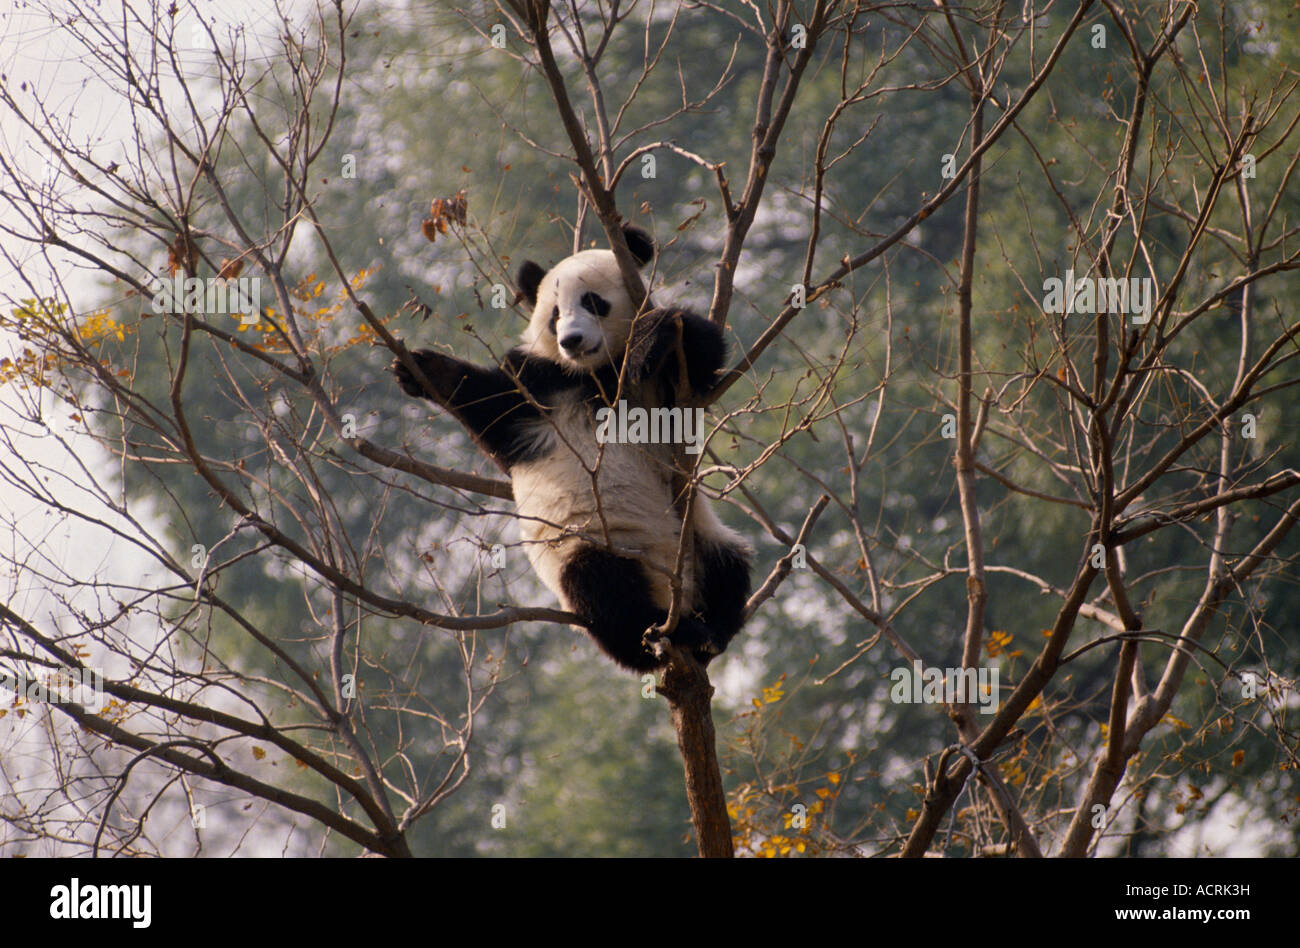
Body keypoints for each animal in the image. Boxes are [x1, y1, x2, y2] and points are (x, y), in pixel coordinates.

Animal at [392, 224, 752, 672]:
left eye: (592, 301)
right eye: (554, 314)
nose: (572, 340)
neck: (591, 373)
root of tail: (673, 592)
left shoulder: (664, 389)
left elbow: (701, 357)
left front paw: (653, 335)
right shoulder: (538, 382)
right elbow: (490, 408)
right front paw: (419, 368)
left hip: (701, 535)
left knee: (730, 565)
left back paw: (710, 632)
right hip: (590, 543)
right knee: (602, 591)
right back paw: (670, 632)